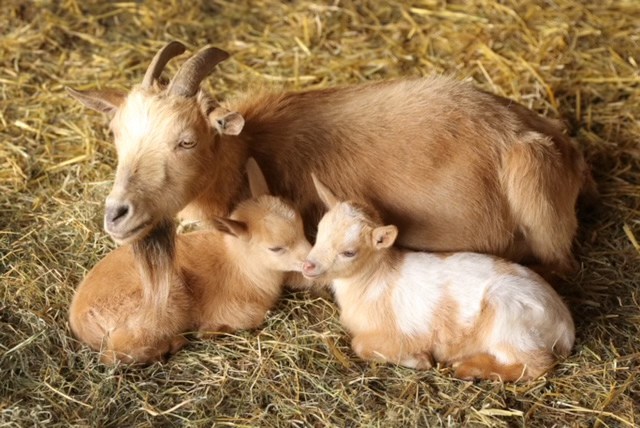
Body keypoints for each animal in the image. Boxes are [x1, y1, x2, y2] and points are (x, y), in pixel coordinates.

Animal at [67, 41, 594, 283]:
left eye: (187, 141)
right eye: (116, 135)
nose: (117, 215)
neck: (251, 148)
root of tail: (556, 142)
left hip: (535, 190)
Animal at [69, 159, 311, 364]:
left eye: (301, 226)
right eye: (275, 248)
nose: (310, 261)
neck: (240, 266)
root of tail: (80, 318)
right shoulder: (236, 310)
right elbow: (248, 319)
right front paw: (209, 331)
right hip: (159, 304)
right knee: (115, 355)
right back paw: (172, 344)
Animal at [302, 175, 575, 381]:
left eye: (349, 252)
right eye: (320, 230)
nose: (308, 265)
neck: (375, 279)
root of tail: (565, 326)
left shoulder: (401, 333)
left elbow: (359, 345)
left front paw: (419, 360)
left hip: (510, 325)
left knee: (536, 365)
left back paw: (469, 367)